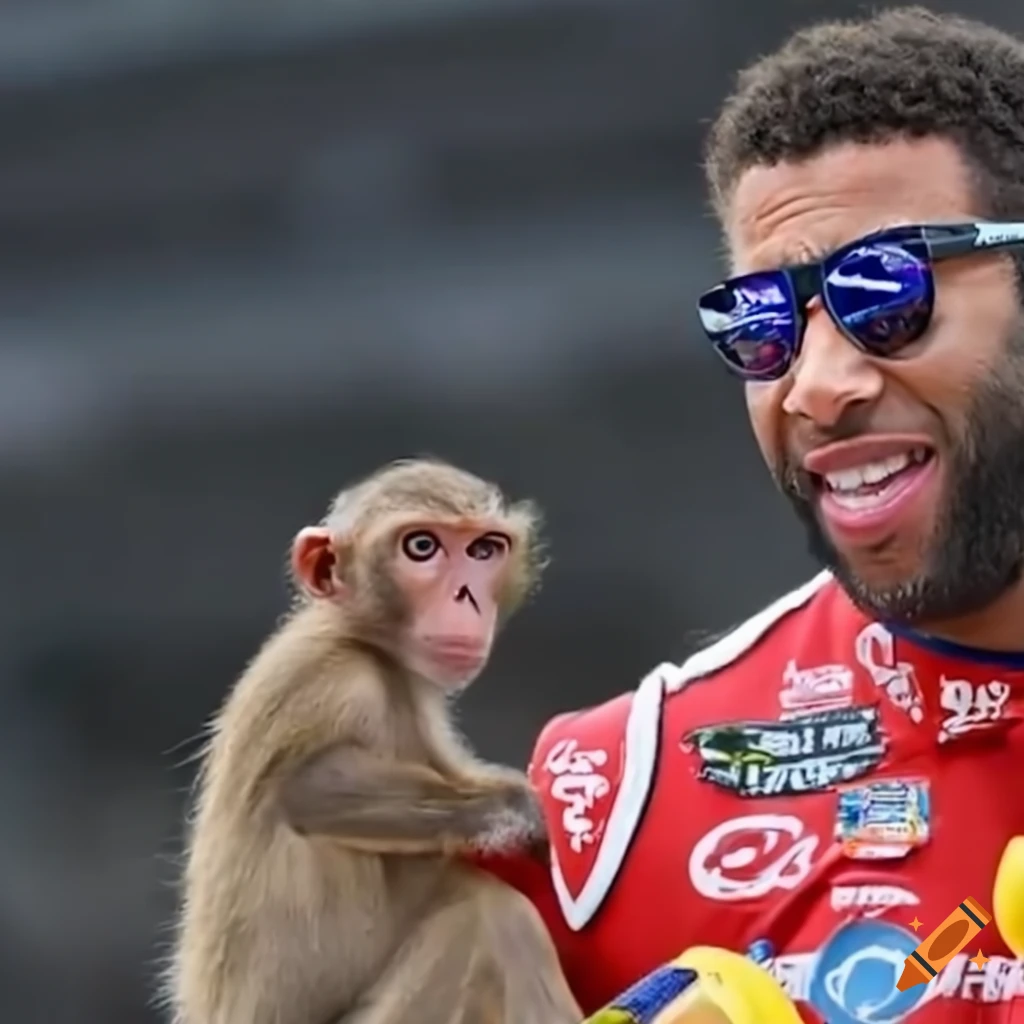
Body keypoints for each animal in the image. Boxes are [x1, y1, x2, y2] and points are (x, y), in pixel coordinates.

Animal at [165, 458, 581, 1024]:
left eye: (483, 550)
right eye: (422, 547)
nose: (467, 596)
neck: (361, 638)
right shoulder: (345, 685)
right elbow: (313, 788)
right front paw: (513, 810)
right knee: (490, 921)